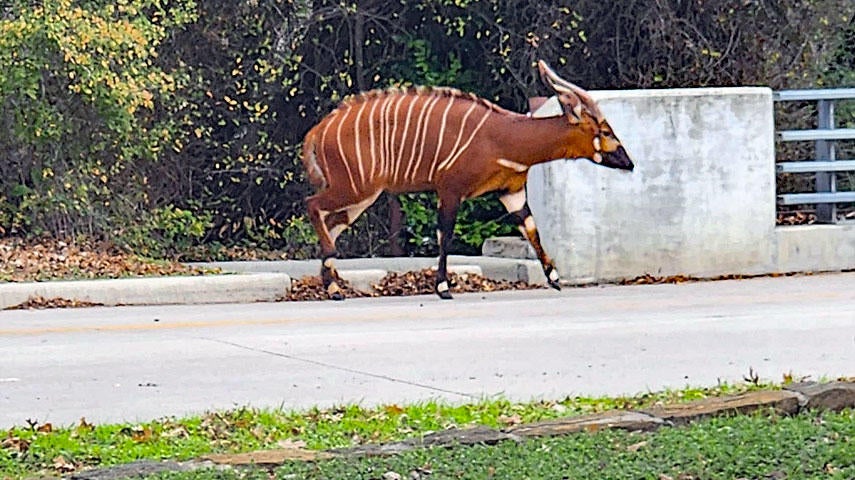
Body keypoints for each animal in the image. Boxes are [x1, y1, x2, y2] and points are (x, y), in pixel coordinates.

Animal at [301, 60, 634, 300]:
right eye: (605, 131)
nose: (629, 163)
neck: (505, 137)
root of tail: (317, 131)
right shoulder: (450, 189)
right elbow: (444, 234)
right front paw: (443, 288)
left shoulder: (511, 192)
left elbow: (531, 229)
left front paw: (555, 279)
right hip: (355, 187)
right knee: (313, 204)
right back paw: (332, 282)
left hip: (363, 196)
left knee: (331, 222)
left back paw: (332, 288)